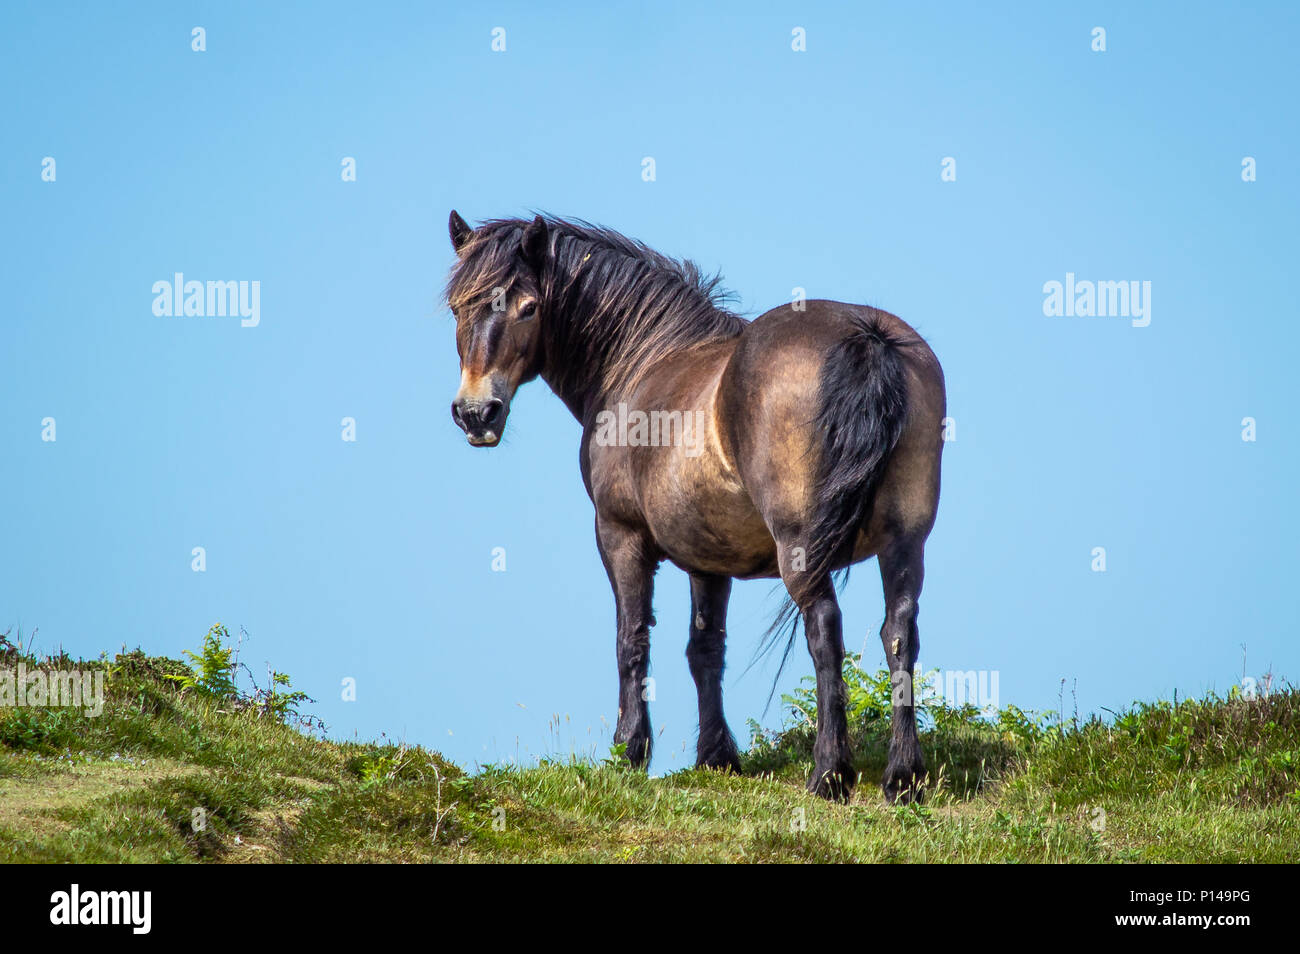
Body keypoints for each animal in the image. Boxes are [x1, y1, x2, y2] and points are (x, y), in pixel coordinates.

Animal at [444, 213, 946, 805]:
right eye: (456, 307)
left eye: (527, 307)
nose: (476, 412)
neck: (640, 359)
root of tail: (866, 336)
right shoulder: (709, 559)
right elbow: (704, 649)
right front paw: (717, 757)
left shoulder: (619, 535)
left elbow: (631, 638)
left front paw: (629, 751)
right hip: (903, 541)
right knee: (899, 630)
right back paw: (903, 777)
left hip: (801, 548)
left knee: (825, 628)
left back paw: (829, 773)